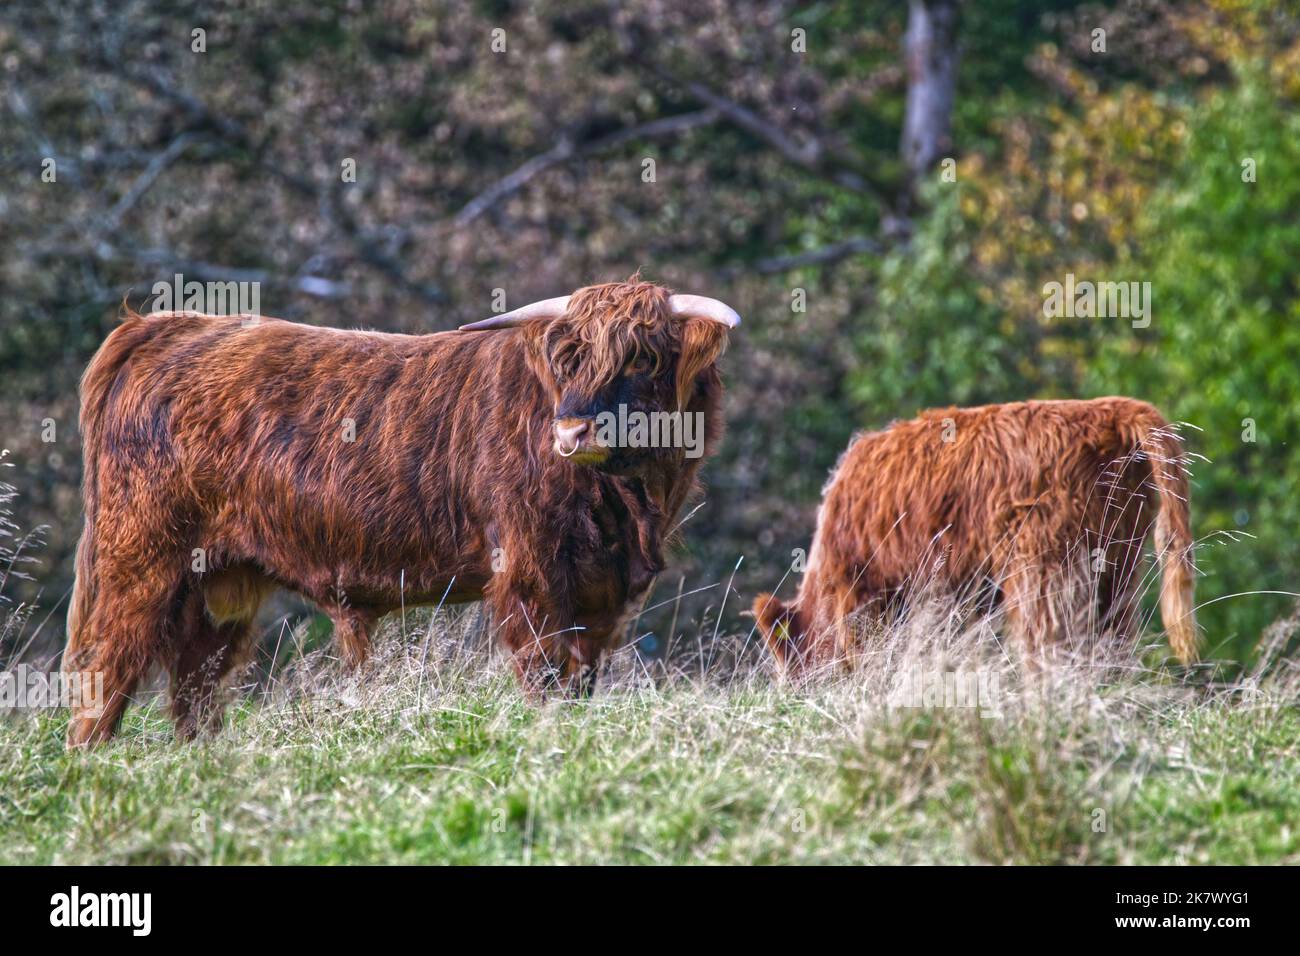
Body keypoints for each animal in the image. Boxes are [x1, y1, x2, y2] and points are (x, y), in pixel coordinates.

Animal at [63, 279, 739, 746]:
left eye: (643, 359)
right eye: (567, 360)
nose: (572, 430)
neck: (627, 503)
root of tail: (165, 326)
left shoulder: (607, 590)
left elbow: (583, 676)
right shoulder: (532, 574)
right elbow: (546, 671)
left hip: (219, 578)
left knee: (195, 681)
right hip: (140, 557)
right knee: (106, 667)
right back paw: (89, 764)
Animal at [752, 397, 1198, 675]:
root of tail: (1111, 410)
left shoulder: (870, 592)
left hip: (1043, 563)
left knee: (1050, 641)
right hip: (1119, 557)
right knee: (1112, 635)